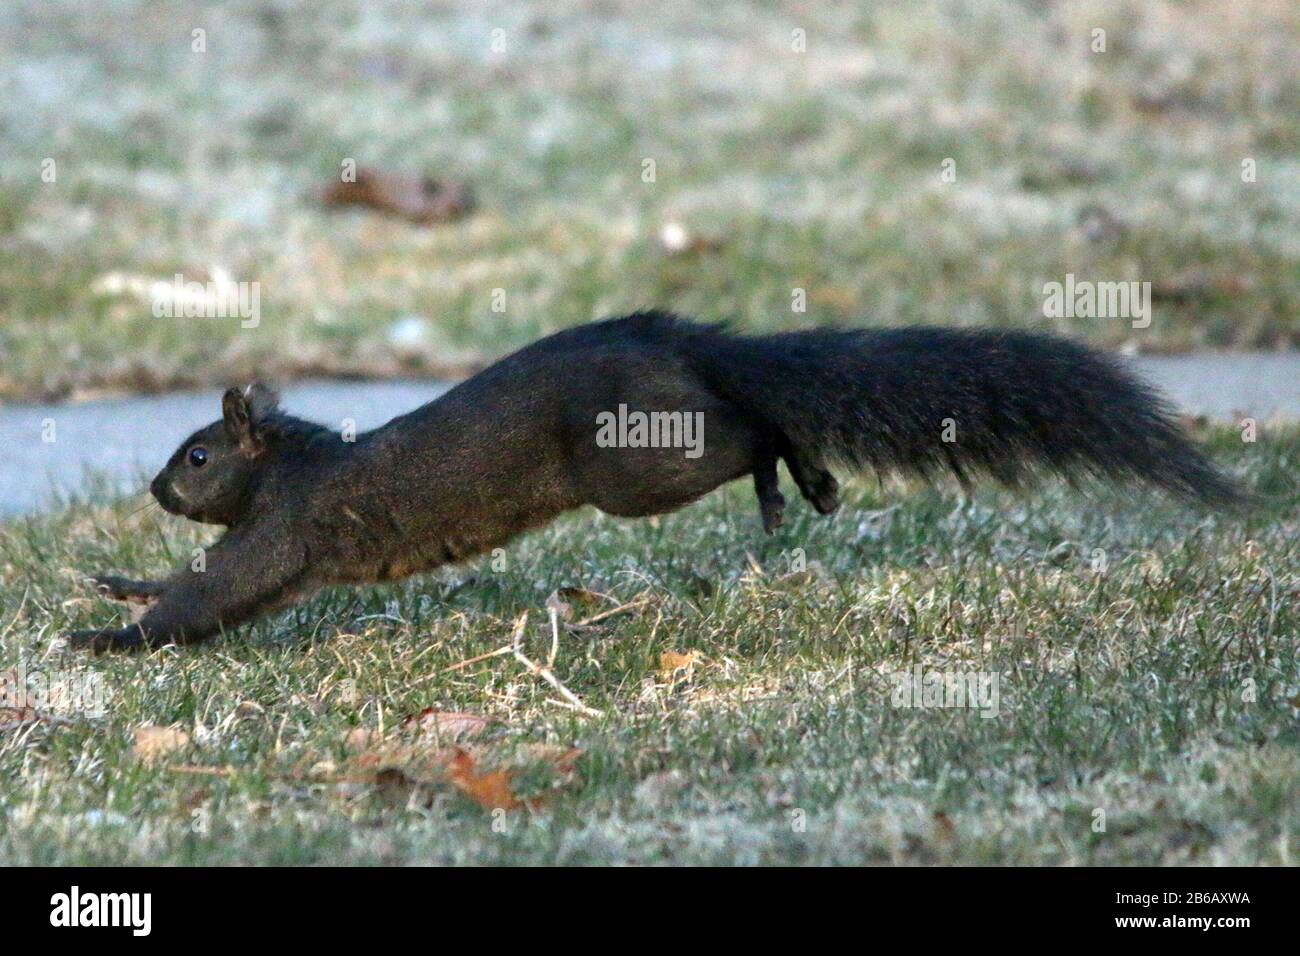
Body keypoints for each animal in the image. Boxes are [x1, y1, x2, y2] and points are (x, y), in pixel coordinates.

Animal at [67, 311, 1243, 653]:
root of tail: (683, 340)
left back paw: (796, 472)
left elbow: (220, 589)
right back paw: (792, 485)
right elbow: (197, 578)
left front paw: (108, 638)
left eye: (197, 456)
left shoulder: (288, 528)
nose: (158, 491)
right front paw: (117, 584)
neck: (291, 462)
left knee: (749, 423)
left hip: (635, 464)